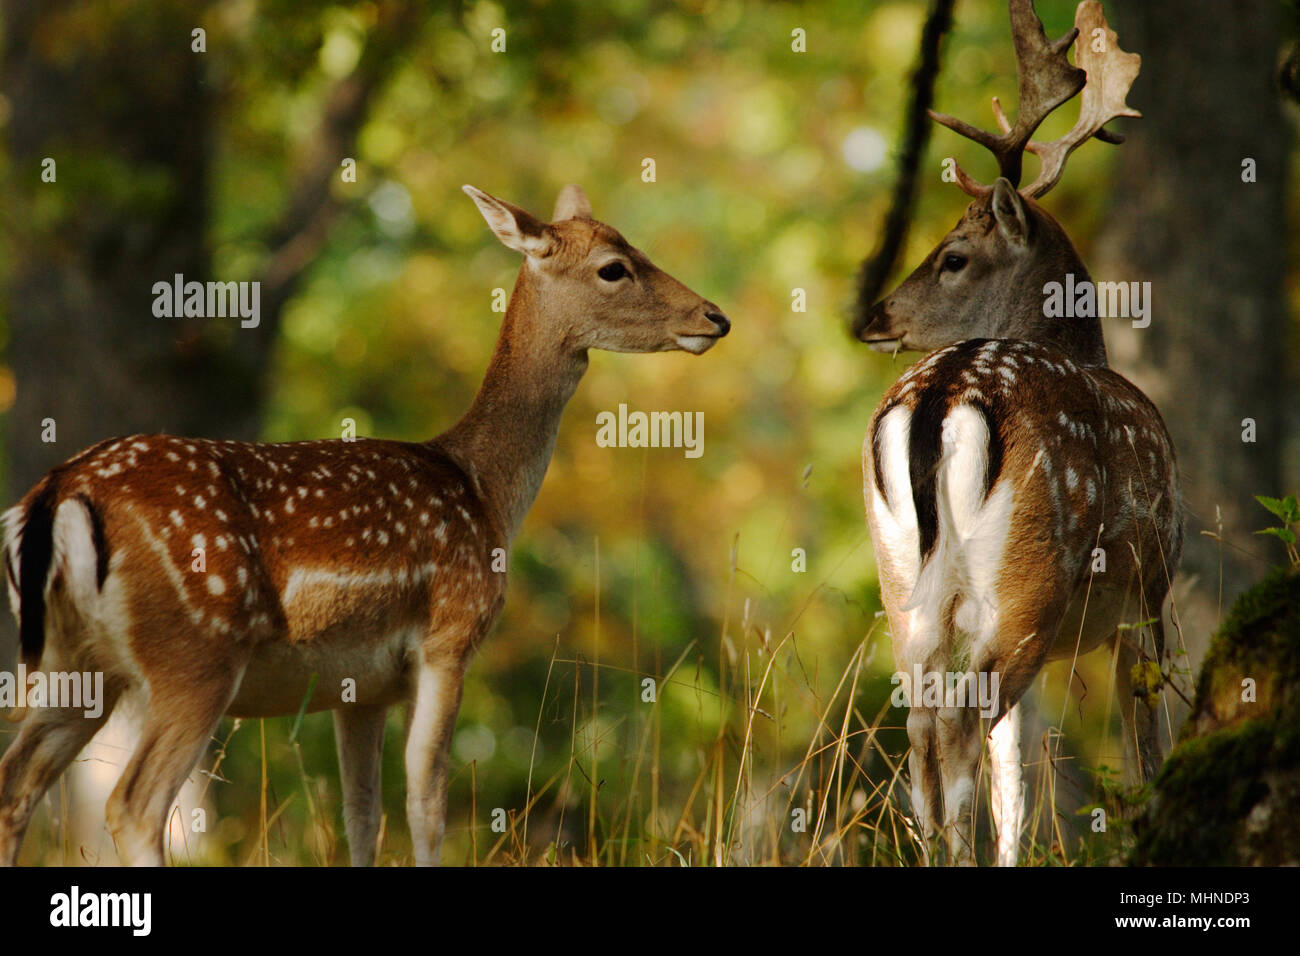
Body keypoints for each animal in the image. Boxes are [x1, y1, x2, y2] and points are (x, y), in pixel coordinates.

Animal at [0, 184, 731, 866]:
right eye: (614, 267)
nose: (715, 316)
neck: (485, 490)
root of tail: (61, 492)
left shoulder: (360, 688)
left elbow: (362, 813)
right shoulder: (449, 636)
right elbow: (426, 804)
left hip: (73, 661)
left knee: (16, 785)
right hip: (193, 652)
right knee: (134, 803)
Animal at [854, 0, 1181, 865]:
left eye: (953, 255)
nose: (872, 317)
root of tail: (941, 394)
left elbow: (1019, 783)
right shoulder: (1153, 582)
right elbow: (1147, 739)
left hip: (905, 587)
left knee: (927, 732)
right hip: (1034, 568)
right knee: (962, 731)